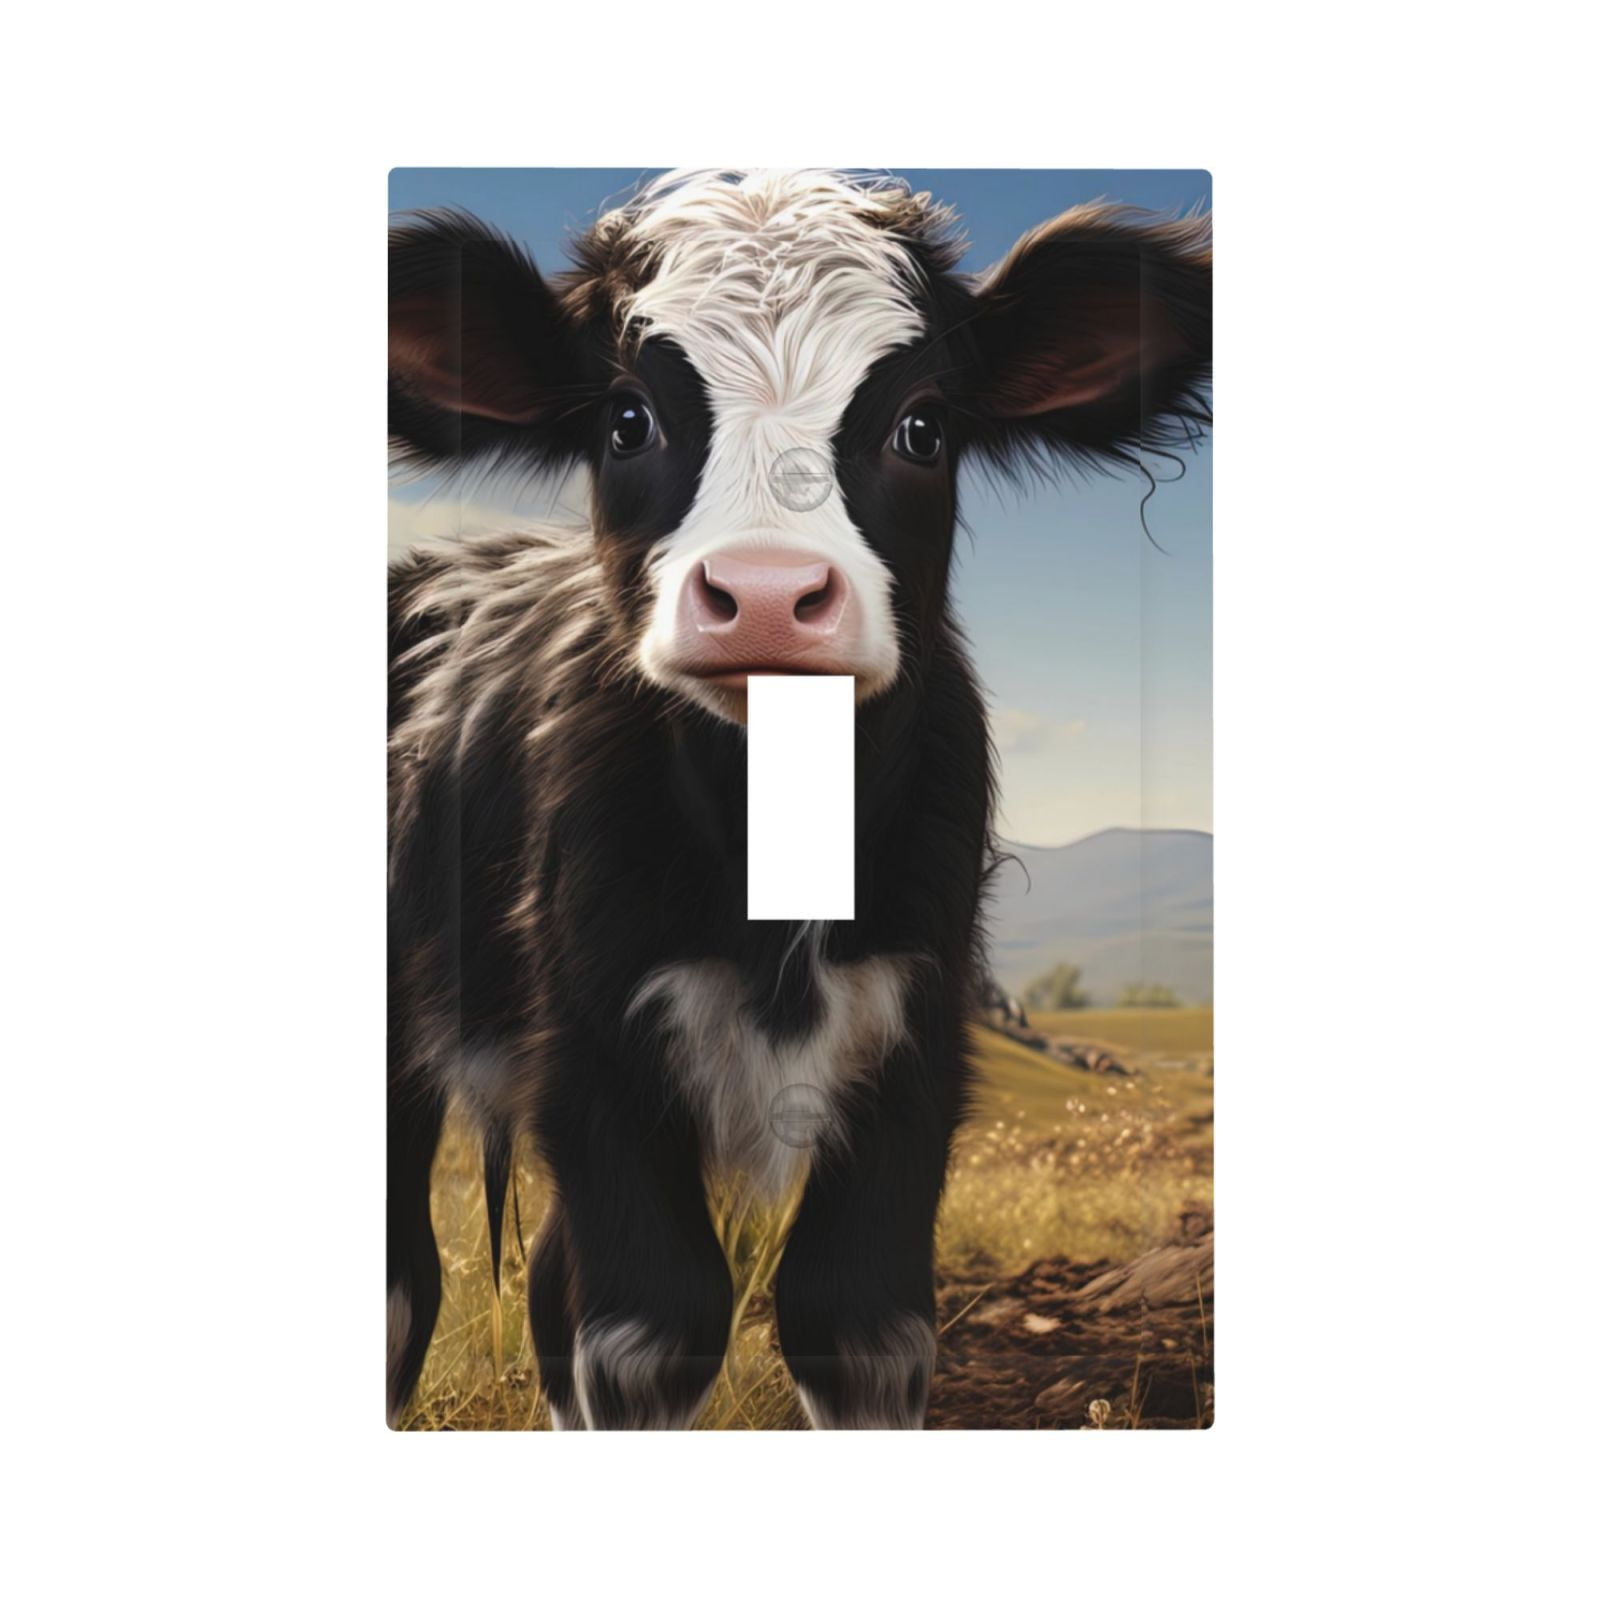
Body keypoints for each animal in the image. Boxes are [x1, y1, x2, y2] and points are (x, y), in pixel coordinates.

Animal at [388, 169, 1211, 1429]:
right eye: (625, 419)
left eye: (923, 425)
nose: (768, 595)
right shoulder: (586, 1052)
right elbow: (647, 1326)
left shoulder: (917, 1046)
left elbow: (859, 1321)